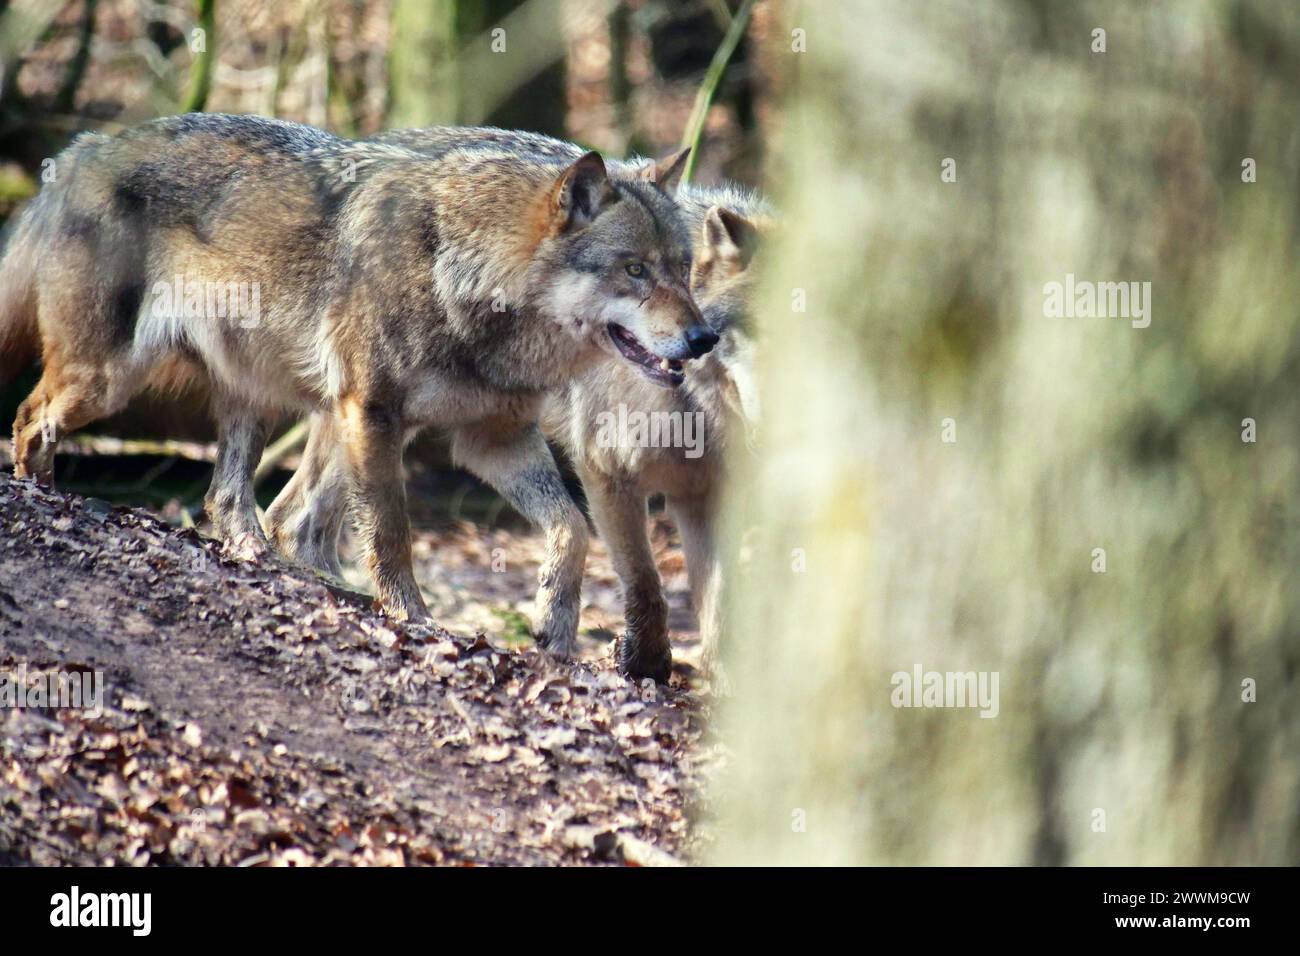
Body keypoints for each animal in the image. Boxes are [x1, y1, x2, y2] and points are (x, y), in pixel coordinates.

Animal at [0, 113, 714, 658]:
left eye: (683, 269)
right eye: (634, 270)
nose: (704, 339)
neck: (464, 268)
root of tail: (81, 150)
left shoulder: (492, 437)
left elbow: (572, 529)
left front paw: (554, 629)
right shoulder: (373, 411)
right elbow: (393, 535)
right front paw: (414, 619)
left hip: (270, 405)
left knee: (237, 505)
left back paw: (292, 574)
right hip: (109, 381)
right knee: (31, 424)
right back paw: (49, 501)